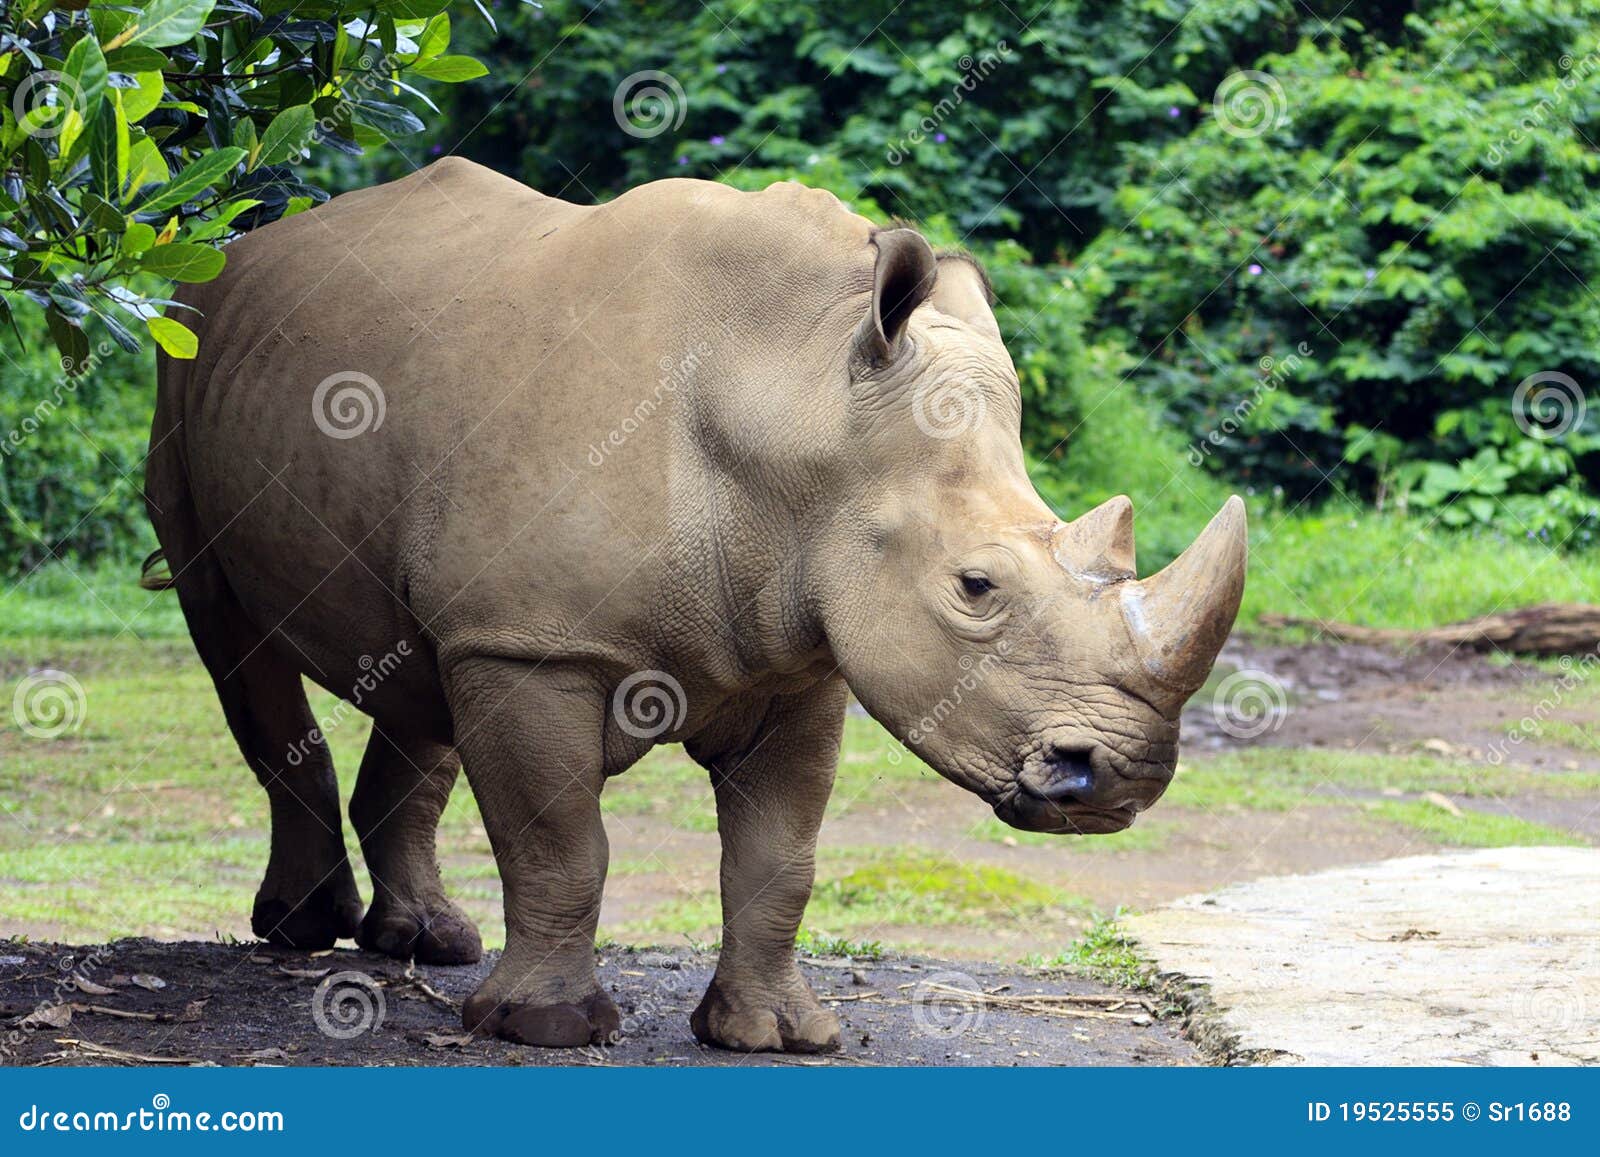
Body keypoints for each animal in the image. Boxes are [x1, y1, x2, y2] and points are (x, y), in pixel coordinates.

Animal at [145, 158, 1245, 1052]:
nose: (1123, 778)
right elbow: (560, 842)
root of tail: (244, 246)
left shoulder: (800, 652)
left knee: (413, 664)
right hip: (184, 358)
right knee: (233, 633)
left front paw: (775, 1036)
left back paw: (428, 940)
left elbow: (779, 858)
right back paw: (300, 931)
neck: (797, 400)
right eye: (976, 588)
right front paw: (548, 1028)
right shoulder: (537, 643)